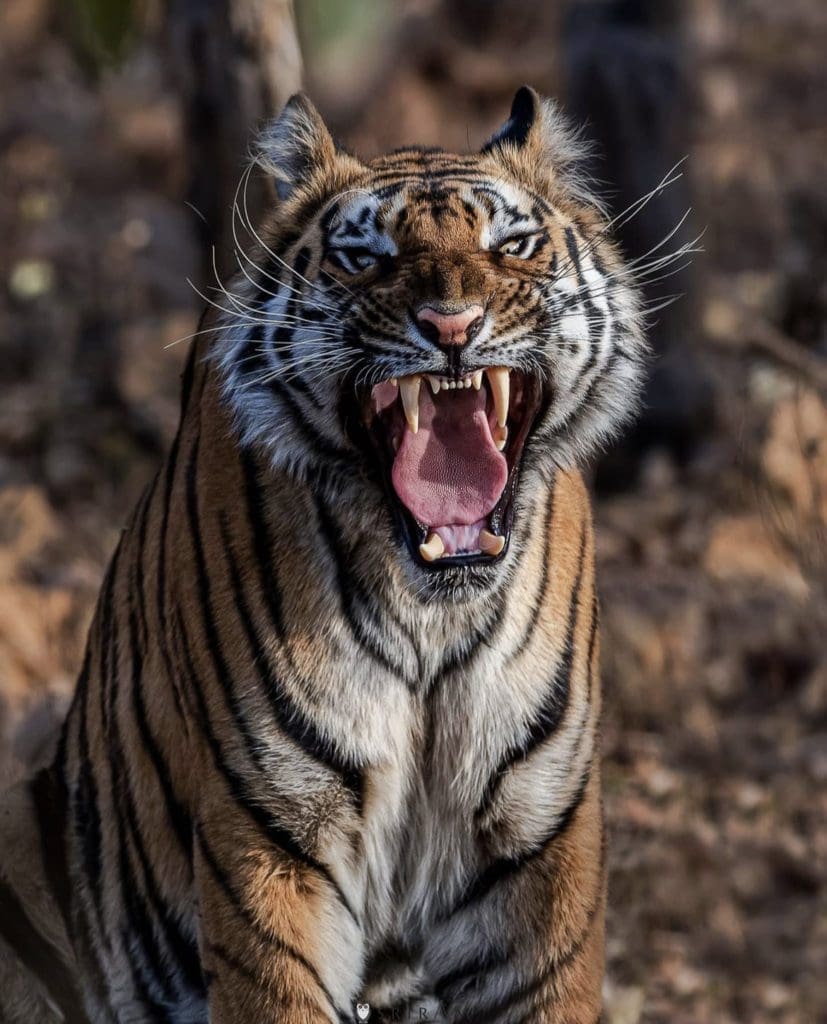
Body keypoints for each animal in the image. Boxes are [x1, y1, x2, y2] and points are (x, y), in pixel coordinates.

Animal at [0, 86, 646, 1023]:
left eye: (511, 246)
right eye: (364, 259)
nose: (452, 326)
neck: (429, 611)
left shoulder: (538, 831)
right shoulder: (270, 832)